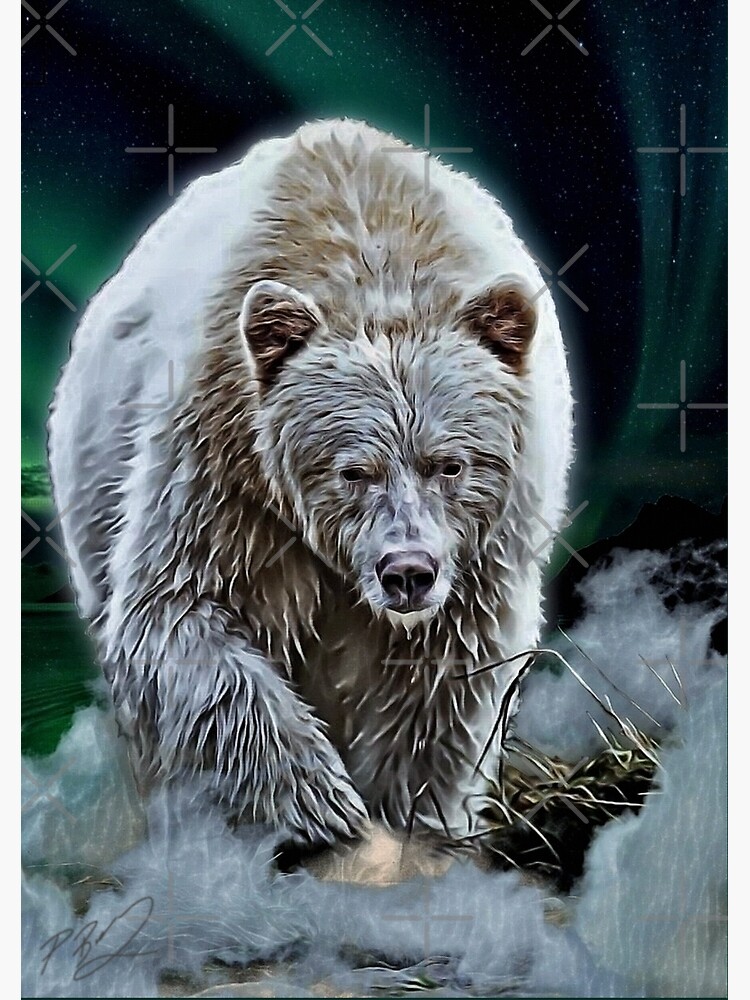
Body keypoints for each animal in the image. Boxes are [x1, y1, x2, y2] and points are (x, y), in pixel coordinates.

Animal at [48, 119, 573, 851]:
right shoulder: (225, 473)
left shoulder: (486, 546)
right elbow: (176, 613)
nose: (407, 572)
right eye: (352, 470)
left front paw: (411, 811)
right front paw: (320, 798)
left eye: (450, 464)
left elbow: (446, 673)